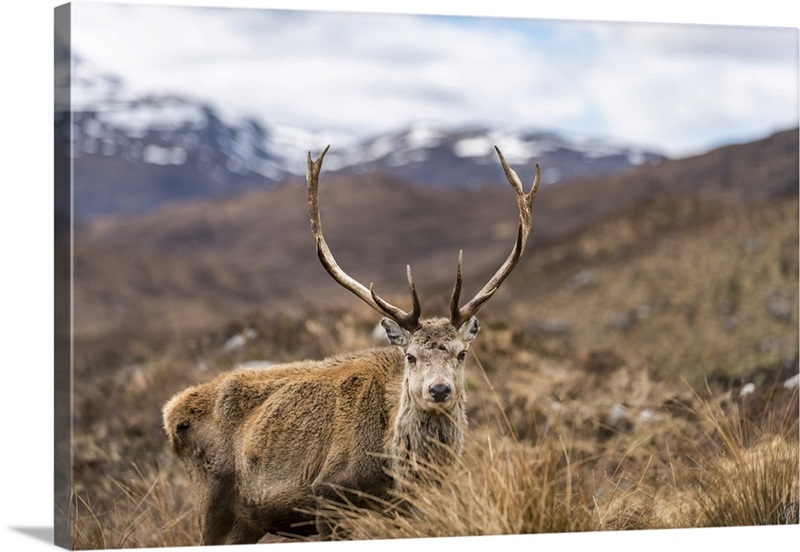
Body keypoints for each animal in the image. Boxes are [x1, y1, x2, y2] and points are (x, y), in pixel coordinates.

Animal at [162, 146, 540, 544]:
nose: (439, 390)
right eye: (410, 356)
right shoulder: (329, 495)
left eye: (462, 353)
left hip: (245, 521)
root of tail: (171, 413)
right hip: (213, 499)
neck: (396, 470)